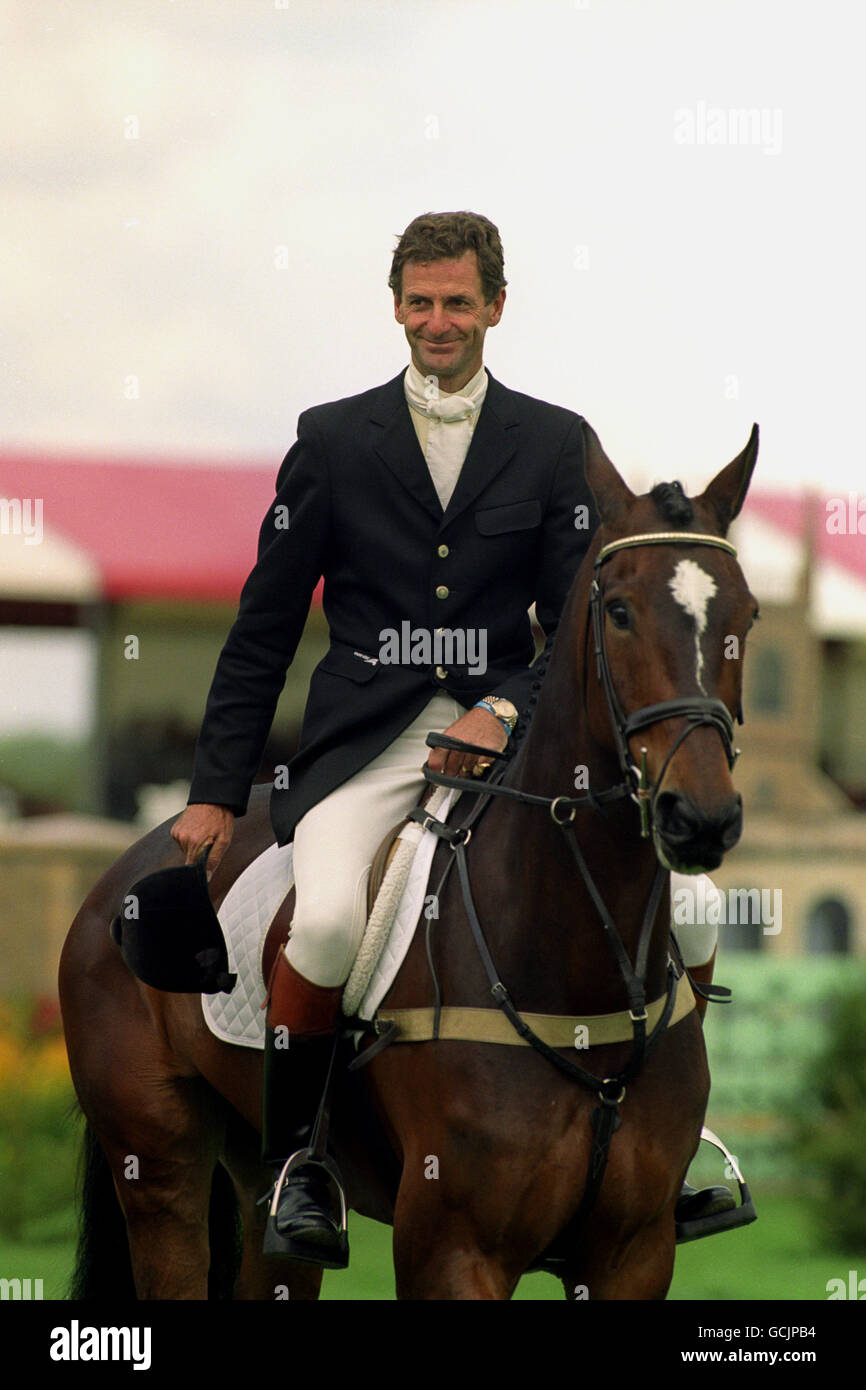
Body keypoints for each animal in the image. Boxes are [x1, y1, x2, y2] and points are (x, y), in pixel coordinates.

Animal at [59, 422, 759, 1300]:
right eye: (620, 611)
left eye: (747, 614)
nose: (699, 818)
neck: (573, 973)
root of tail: (124, 874)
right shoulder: (452, 1250)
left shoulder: (634, 1254)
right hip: (160, 1172)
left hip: (257, 1187)